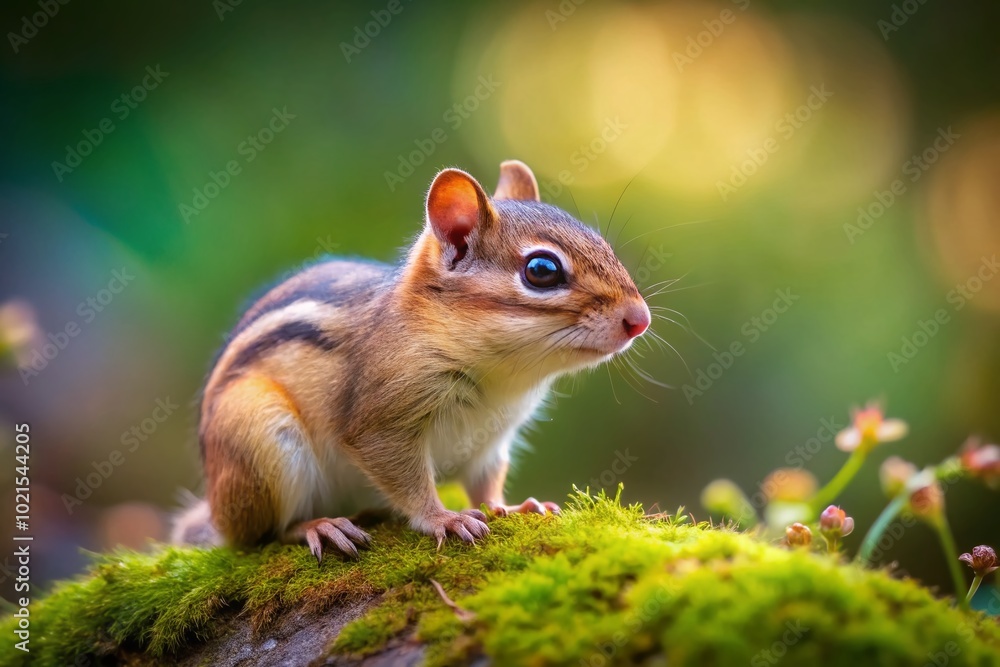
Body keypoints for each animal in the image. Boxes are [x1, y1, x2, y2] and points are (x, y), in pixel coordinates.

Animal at [172, 160, 652, 561]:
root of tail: (217, 509)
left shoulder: (493, 440)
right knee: (258, 537)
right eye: (542, 270)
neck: (505, 377)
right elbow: (407, 479)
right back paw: (318, 526)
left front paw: (512, 506)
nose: (640, 319)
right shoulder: (382, 424)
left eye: (603, 244)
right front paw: (444, 518)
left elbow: (485, 481)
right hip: (258, 434)